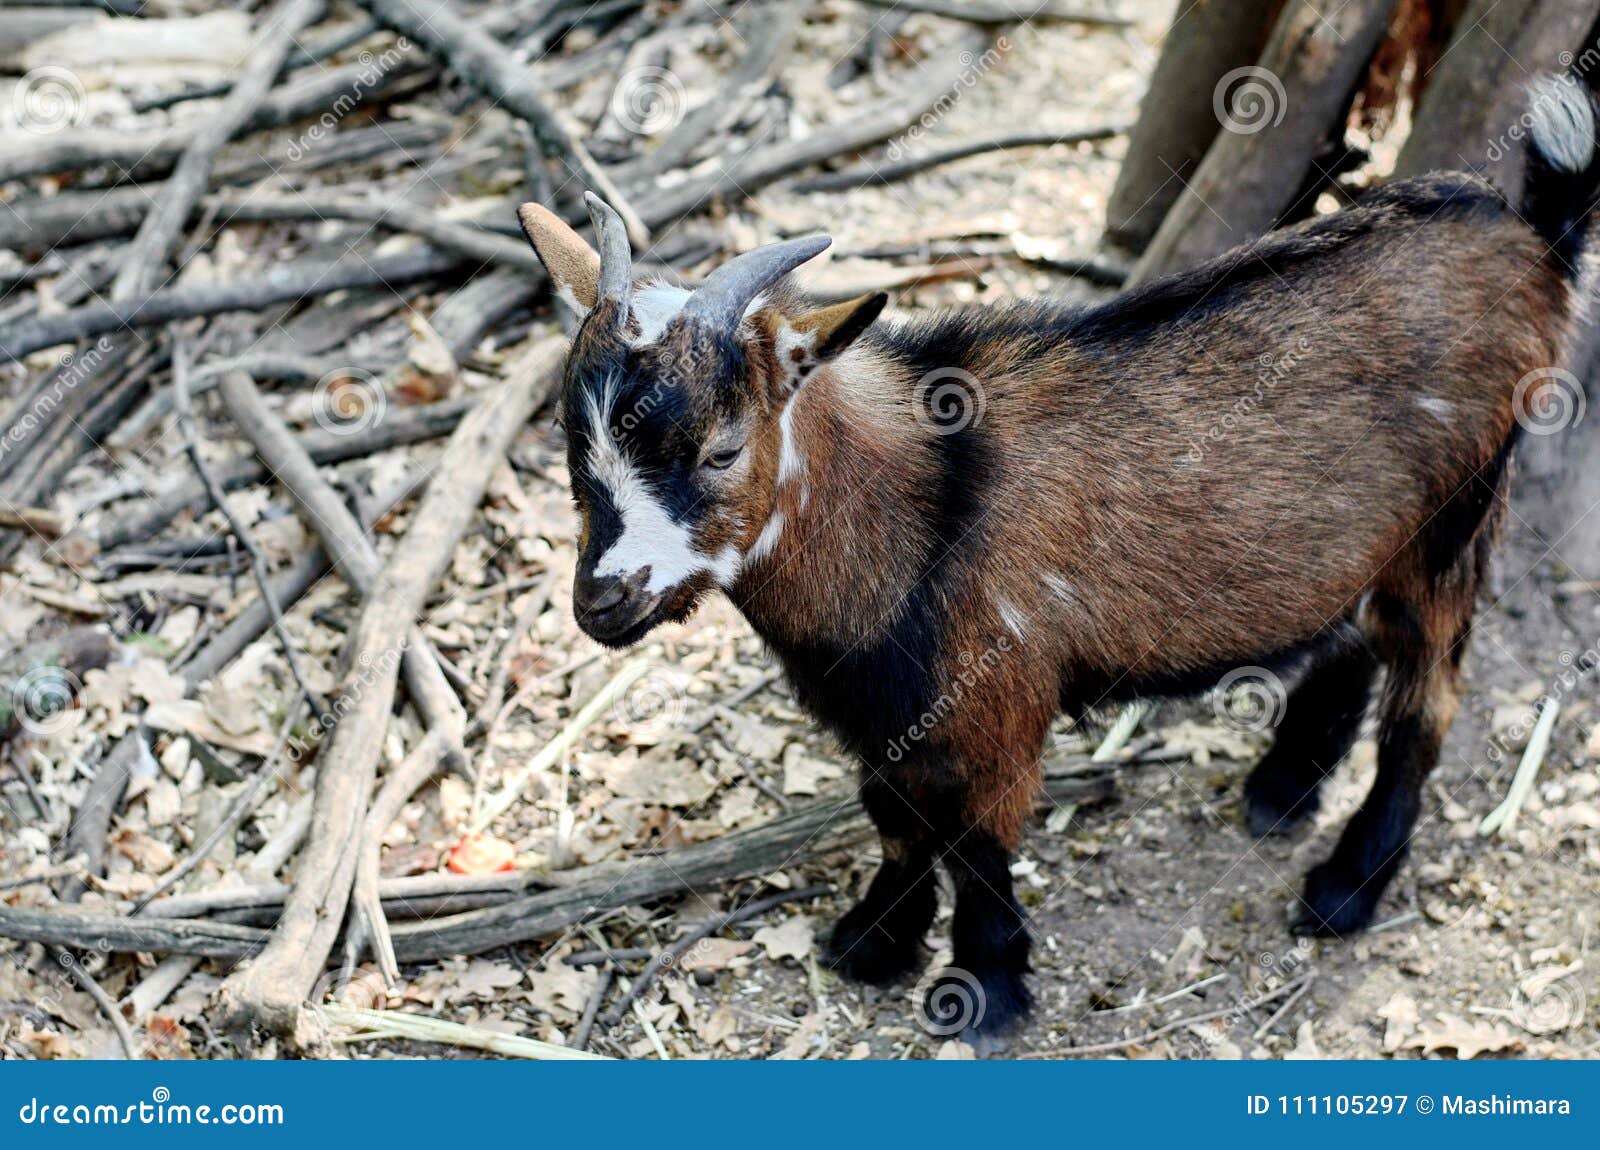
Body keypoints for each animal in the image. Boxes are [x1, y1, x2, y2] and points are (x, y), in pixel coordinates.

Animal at [514, 77, 1600, 1040]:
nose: (603, 599)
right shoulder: (888, 710)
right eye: (573, 438)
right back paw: (1283, 786)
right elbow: (894, 814)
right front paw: (872, 942)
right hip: (1374, 536)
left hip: (1459, 514)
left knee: (1428, 694)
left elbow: (976, 840)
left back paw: (1343, 888)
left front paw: (985, 990)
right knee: (1355, 634)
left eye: (720, 449)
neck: (920, 506)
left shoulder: (999, 698)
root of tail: (1527, 235)